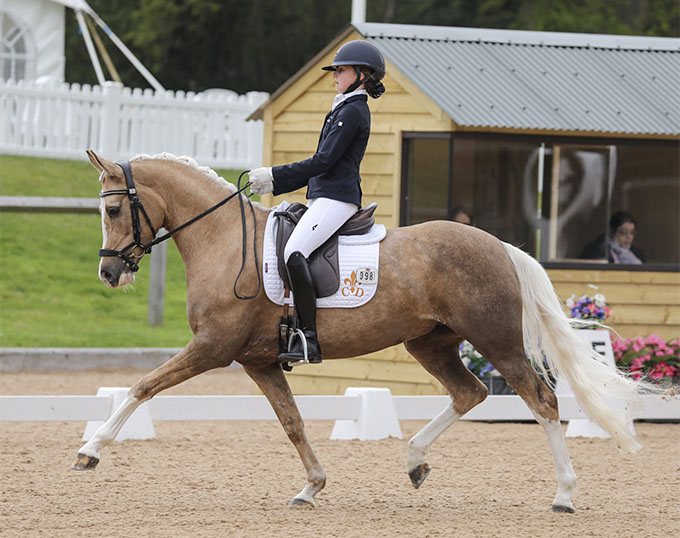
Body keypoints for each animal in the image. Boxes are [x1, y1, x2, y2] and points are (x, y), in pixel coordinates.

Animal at [74, 150, 649, 512]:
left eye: (113, 208)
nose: (108, 273)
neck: (221, 239)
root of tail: (500, 246)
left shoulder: (213, 348)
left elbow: (142, 387)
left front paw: (91, 450)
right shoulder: (258, 361)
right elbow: (293, 423)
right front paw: (311, 488)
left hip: (497, 341)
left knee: (541, 401)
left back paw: (564, 495)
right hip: (430, 342)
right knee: (471, 392)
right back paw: (416, 462)